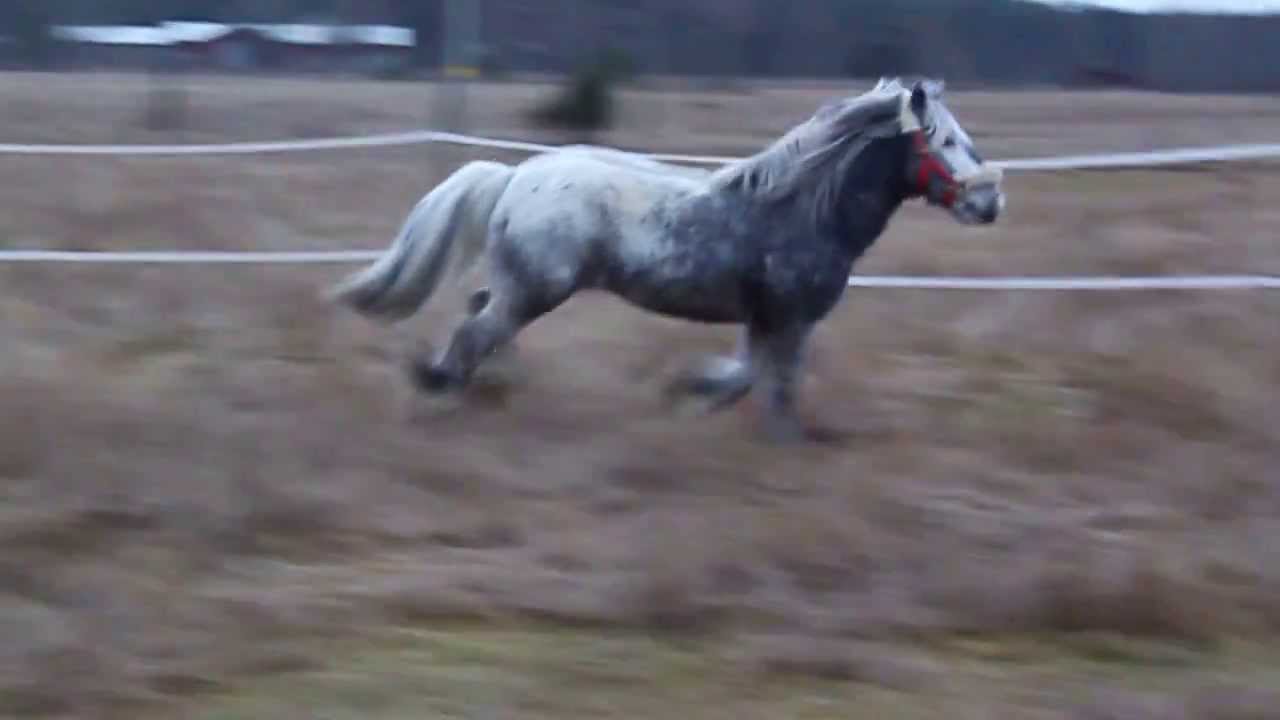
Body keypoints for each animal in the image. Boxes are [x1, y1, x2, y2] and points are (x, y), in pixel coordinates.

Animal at [326, 77, 1006, 442]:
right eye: (947, 141)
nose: (990, 202)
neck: (806, 210)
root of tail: (516, 176)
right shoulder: (787, 316)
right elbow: (773, 382)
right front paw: (737, 416)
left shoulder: (769, 320)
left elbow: (751, 376)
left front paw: (694, 392)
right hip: (537, 288)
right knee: (474, 331)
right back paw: (443, 388)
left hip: (521, 285)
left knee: (479, 316)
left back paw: (496, 384)